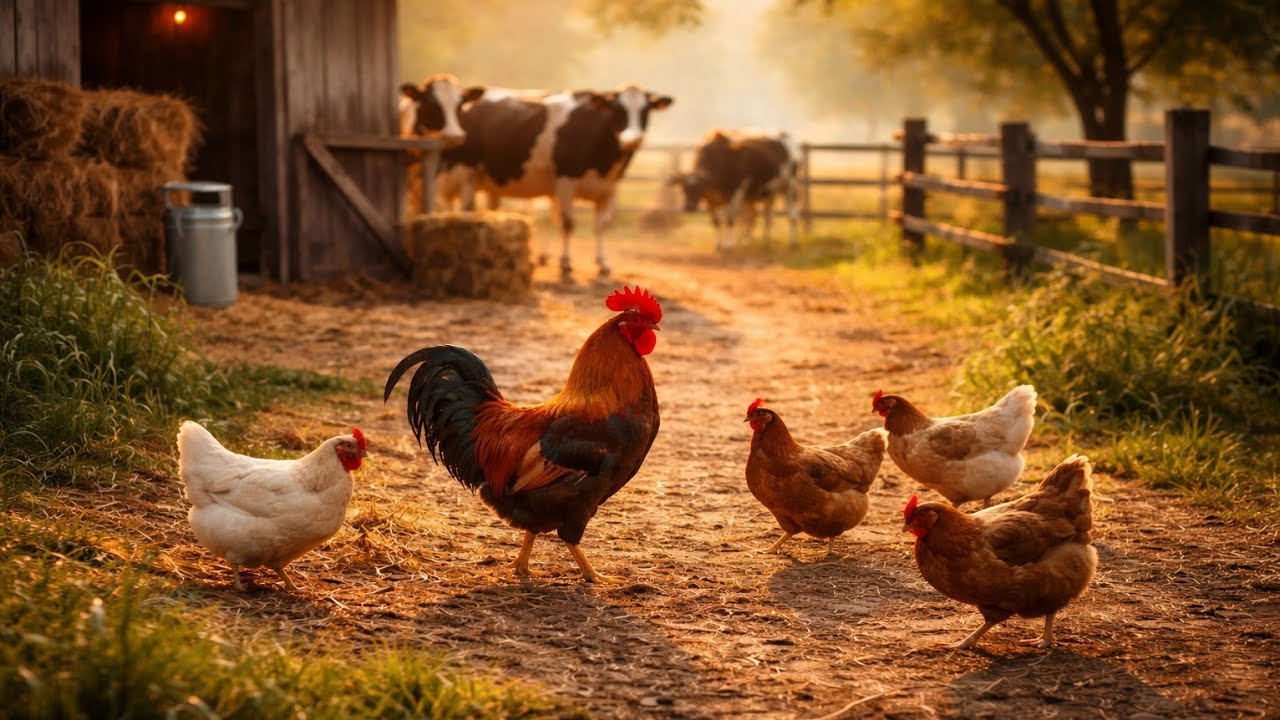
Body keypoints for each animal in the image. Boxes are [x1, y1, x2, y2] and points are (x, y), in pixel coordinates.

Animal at [430, 84, 674, 278]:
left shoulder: (609, 187)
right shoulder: (565, 181)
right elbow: (567, 222)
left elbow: (601, 225)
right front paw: (565, 263)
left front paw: (602, 263)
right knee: (457, 208)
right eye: (617, 109)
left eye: (645, 110)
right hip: (460, 175)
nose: (633, 139)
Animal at [671, 130, 800, 250]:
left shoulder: (736, 192)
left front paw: (729, 246)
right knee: (763, 217)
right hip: (767, 192)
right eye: (684, 189)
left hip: (790, 186)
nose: (689, 207)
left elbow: (730, 219)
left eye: (699, 189)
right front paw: (718, 244)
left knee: (791, 215)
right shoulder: (712, 198)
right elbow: (716, 221)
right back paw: (759, 242)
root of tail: (784, 134)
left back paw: (792, 242)